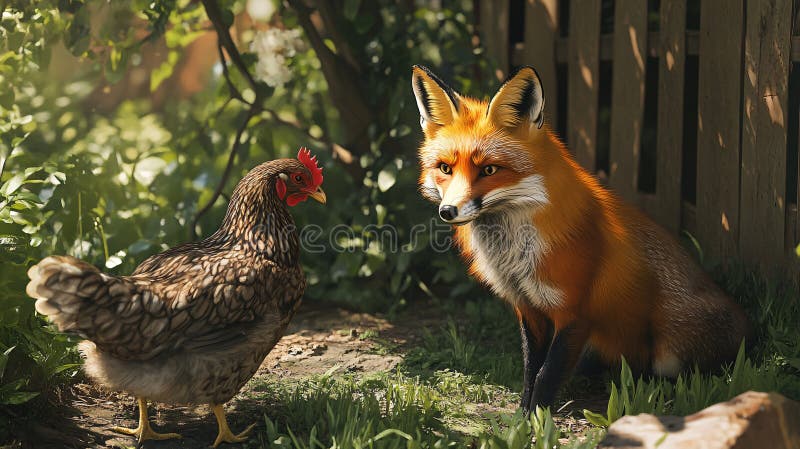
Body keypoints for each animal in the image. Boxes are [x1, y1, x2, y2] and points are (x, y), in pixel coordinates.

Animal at [411, 65, 750, 411]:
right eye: (445, 168)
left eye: (489, 170)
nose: (448, 211)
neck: (514, 257)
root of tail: (748, 323)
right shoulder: (528, 308)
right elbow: (530, 368)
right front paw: (522, 413)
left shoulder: (575, 312)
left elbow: (546, 374)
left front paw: (538, 416)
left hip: (668, 352)